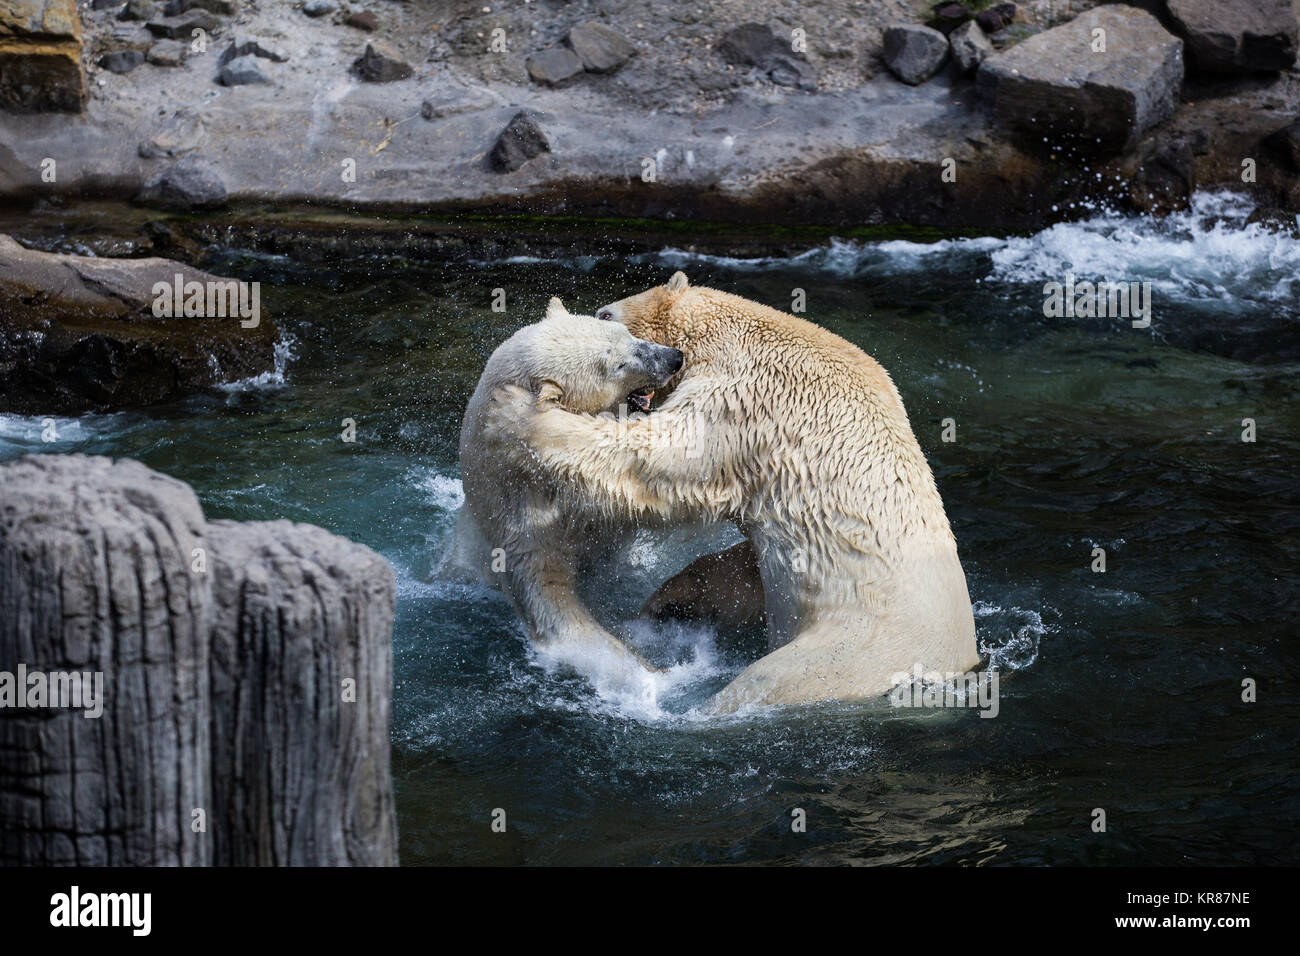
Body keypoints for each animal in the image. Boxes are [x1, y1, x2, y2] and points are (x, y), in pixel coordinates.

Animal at [445, 296, 683, 701]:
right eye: (617, 365)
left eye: (626, 333)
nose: (672, 358)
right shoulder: (519, 522)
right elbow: (552, 605)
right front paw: (652, 677)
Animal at [485, 272, 979, 713]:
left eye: (607, 316)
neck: (726, 329)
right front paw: (668, 602)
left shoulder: (746, 393)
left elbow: (668, 452)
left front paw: (520, 416)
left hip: (851, 645)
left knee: (768, 680)